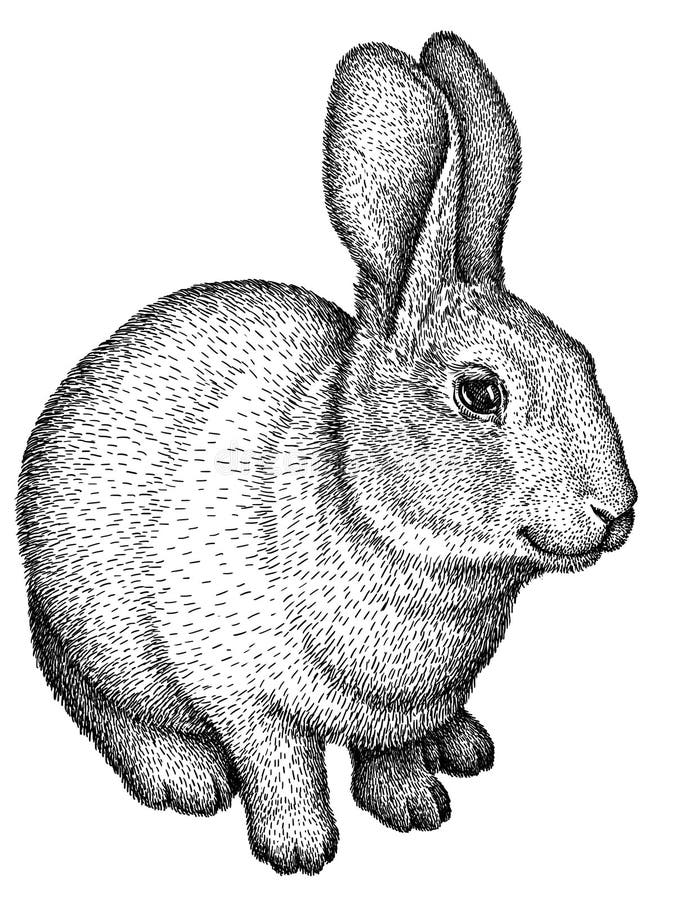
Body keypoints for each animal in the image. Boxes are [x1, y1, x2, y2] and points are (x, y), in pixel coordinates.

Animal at [17, 31, 636, 875]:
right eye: (480, 393)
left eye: (584, 359)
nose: (618, 510)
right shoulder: (245, 696)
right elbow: (282, 766)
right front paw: (302, 851)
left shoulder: (404, 706)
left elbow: (393, 751)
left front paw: (412, 807)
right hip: (88, 631)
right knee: (96, 702)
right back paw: (183, 778)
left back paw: (463, 743)